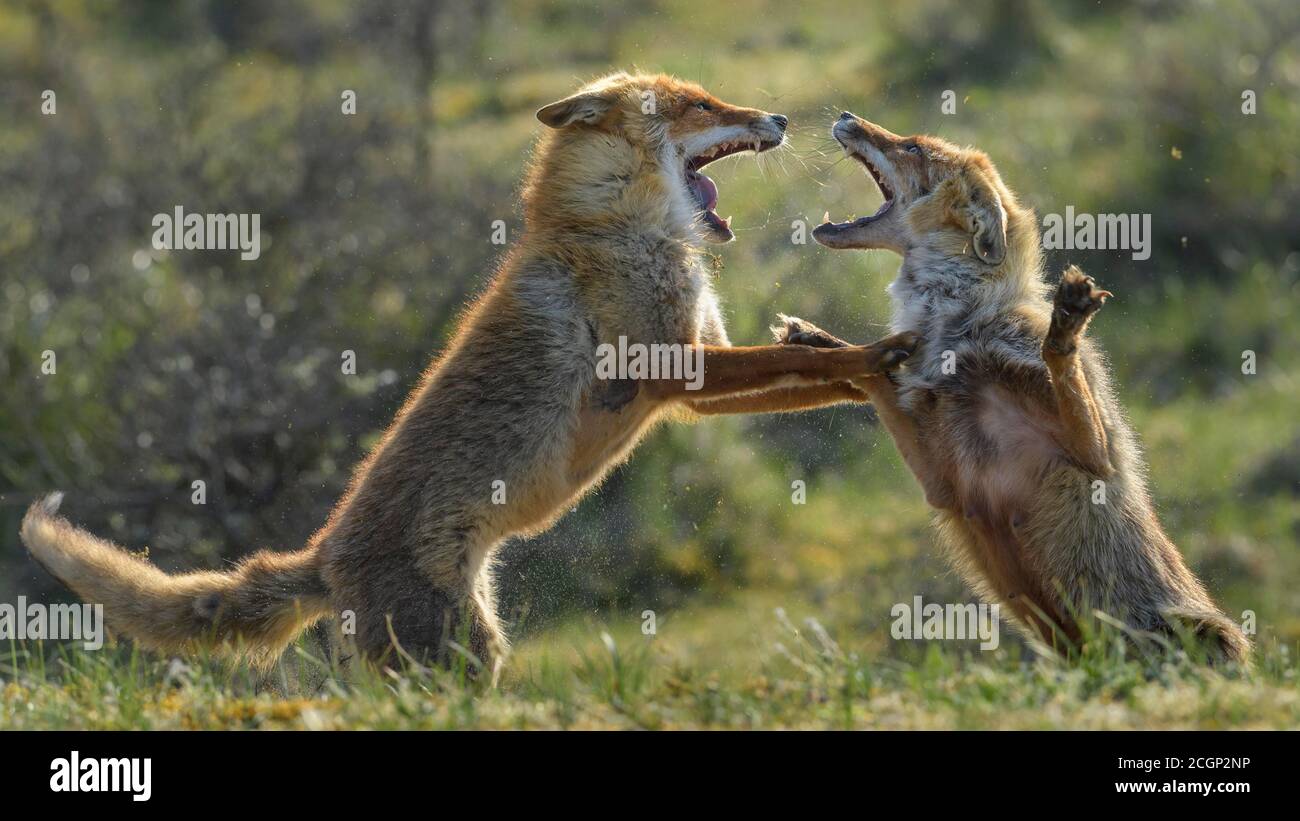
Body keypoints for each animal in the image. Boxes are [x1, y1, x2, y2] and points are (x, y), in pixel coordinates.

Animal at [21, 75, 916, 678]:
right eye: (699, 106)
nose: (781, 117)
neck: (614, 230)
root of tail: (322, 553)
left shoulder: (695, 373)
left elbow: (805, 365)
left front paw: (873, 367)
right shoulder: (671, 373)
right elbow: (806, 362)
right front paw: (875, 354)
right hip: (464, 660)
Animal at [777, 111, 1249, 662]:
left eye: (912, 147)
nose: (847, 117)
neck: (962, 327)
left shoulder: (1094, 457)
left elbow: (1060, 368)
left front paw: (1065, 327)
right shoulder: (944, 485)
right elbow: (874, 373)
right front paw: (822, 345)